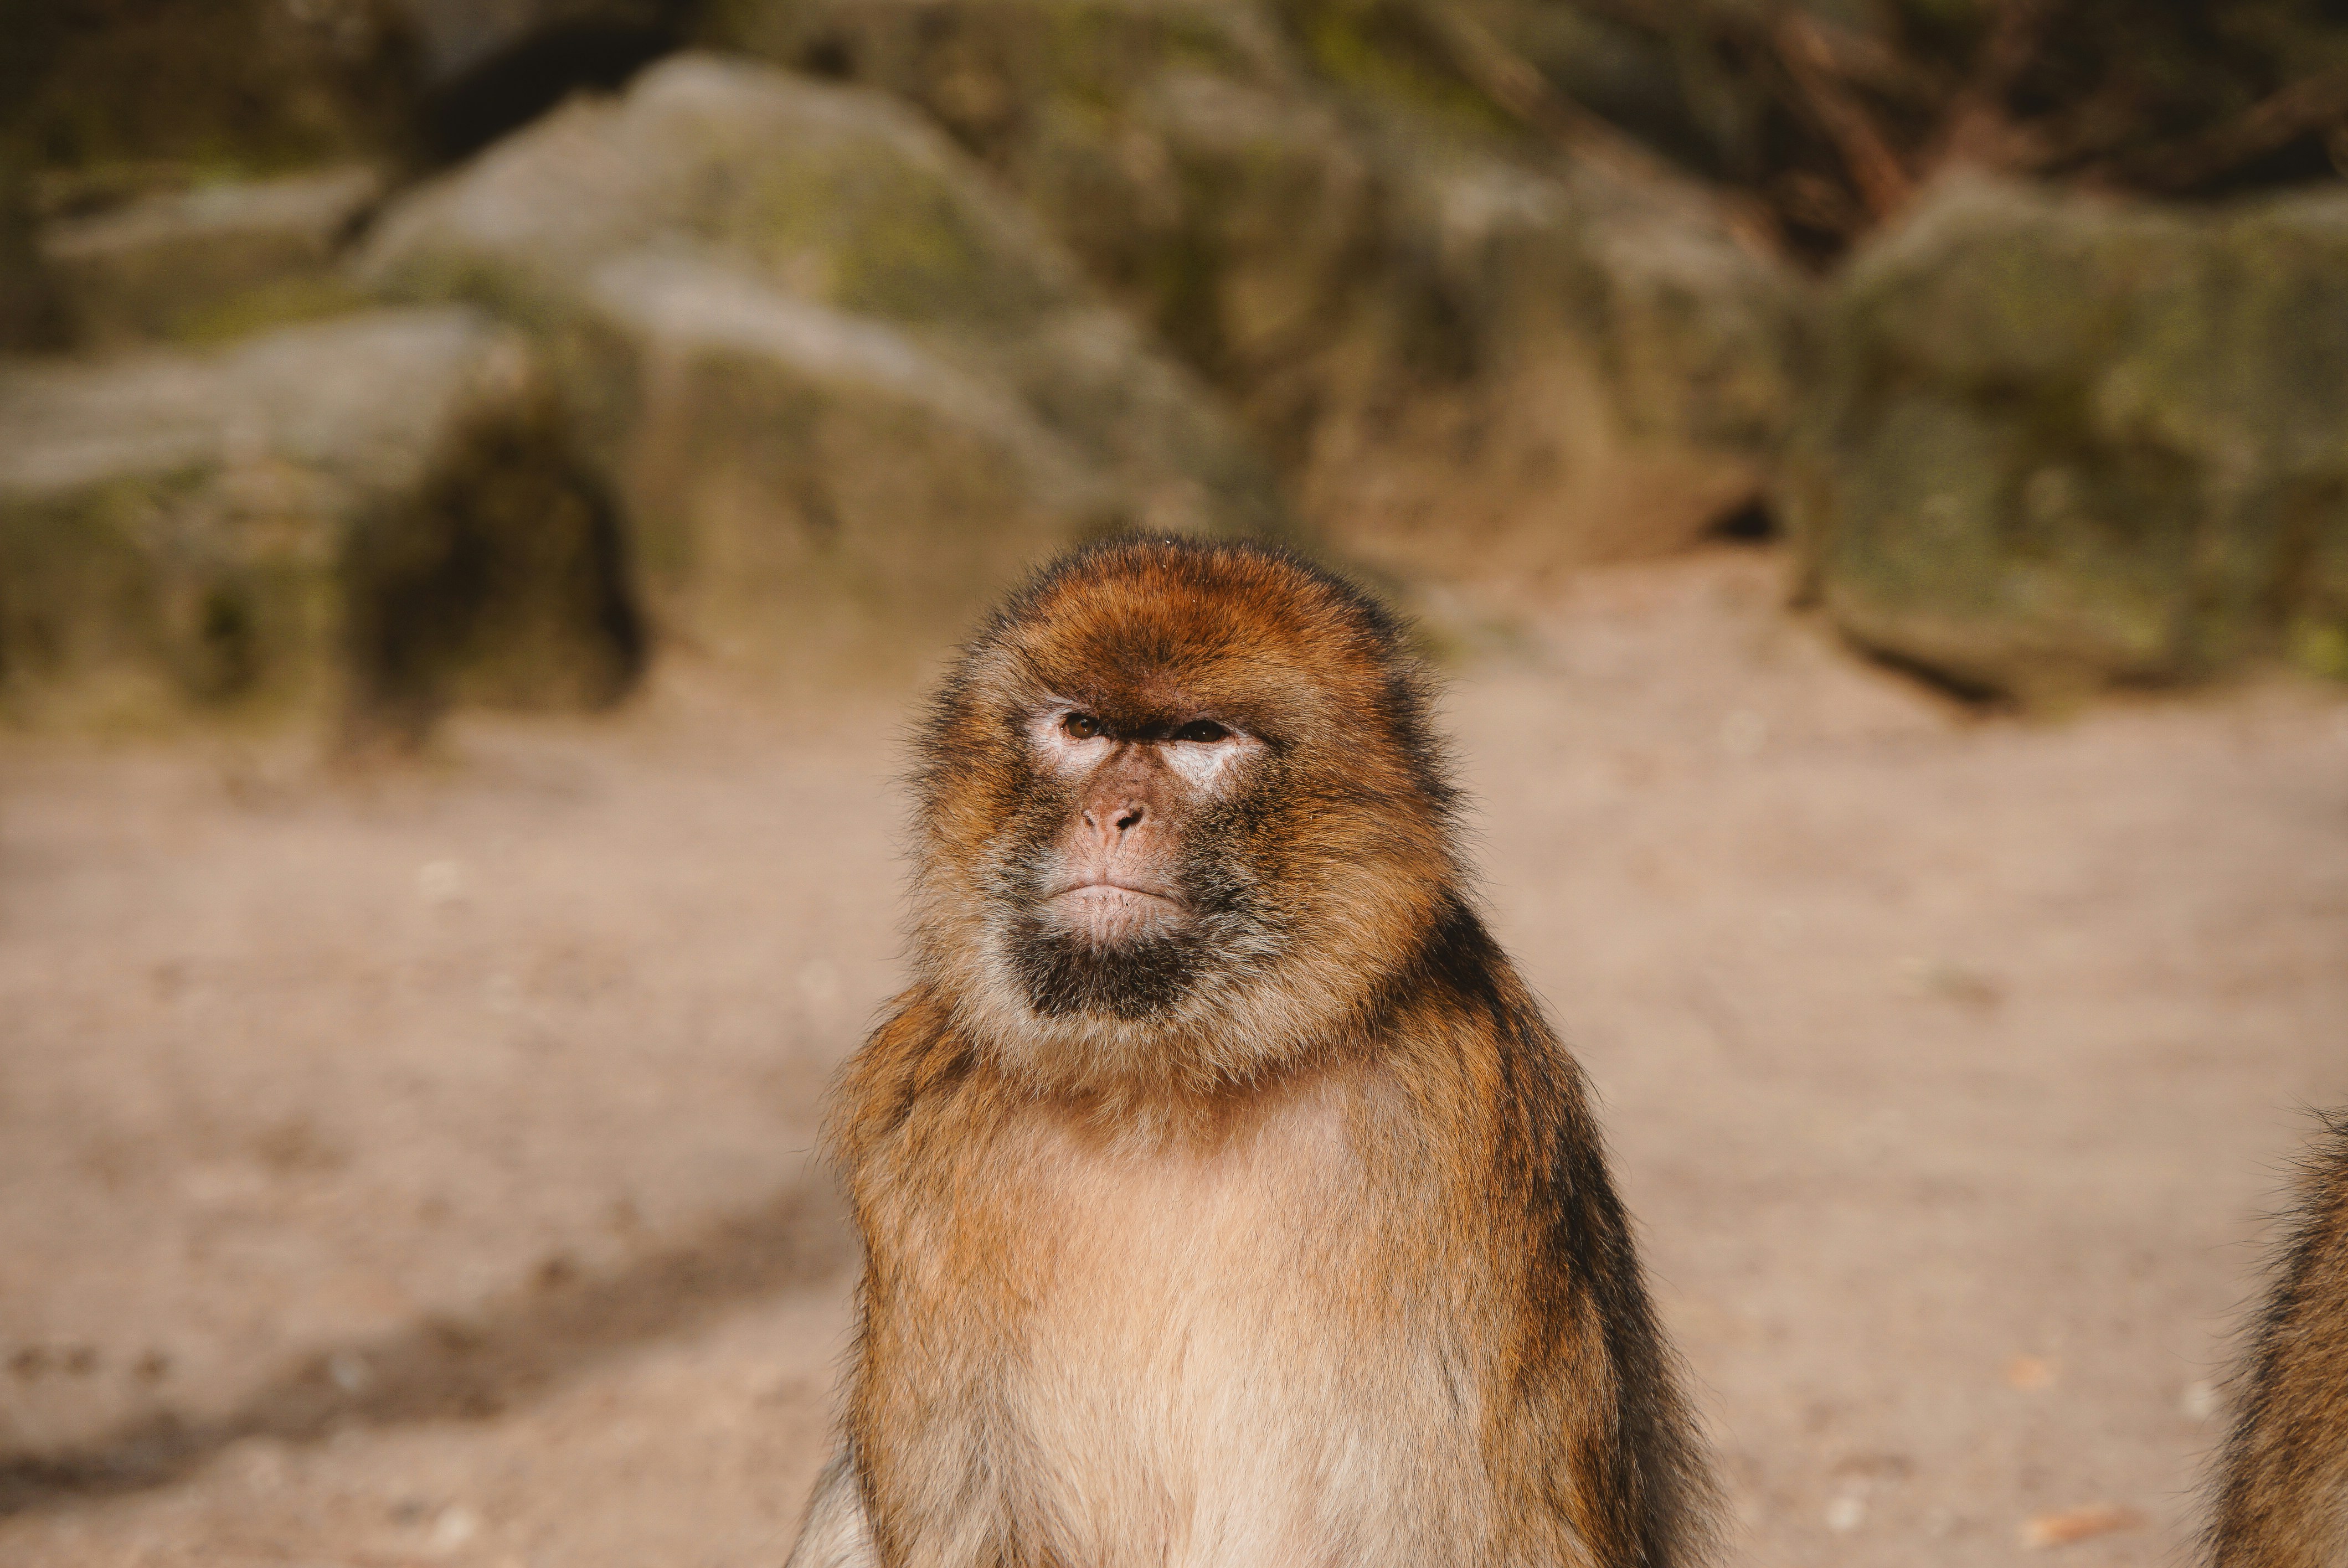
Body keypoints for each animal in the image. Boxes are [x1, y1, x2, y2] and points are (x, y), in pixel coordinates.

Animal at [785, 536, 1717, 1568]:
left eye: (1200, 736)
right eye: (1081, 727)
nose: (1110, 813)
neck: (1166, 1090)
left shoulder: (1470, 1126)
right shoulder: (921, 1126)